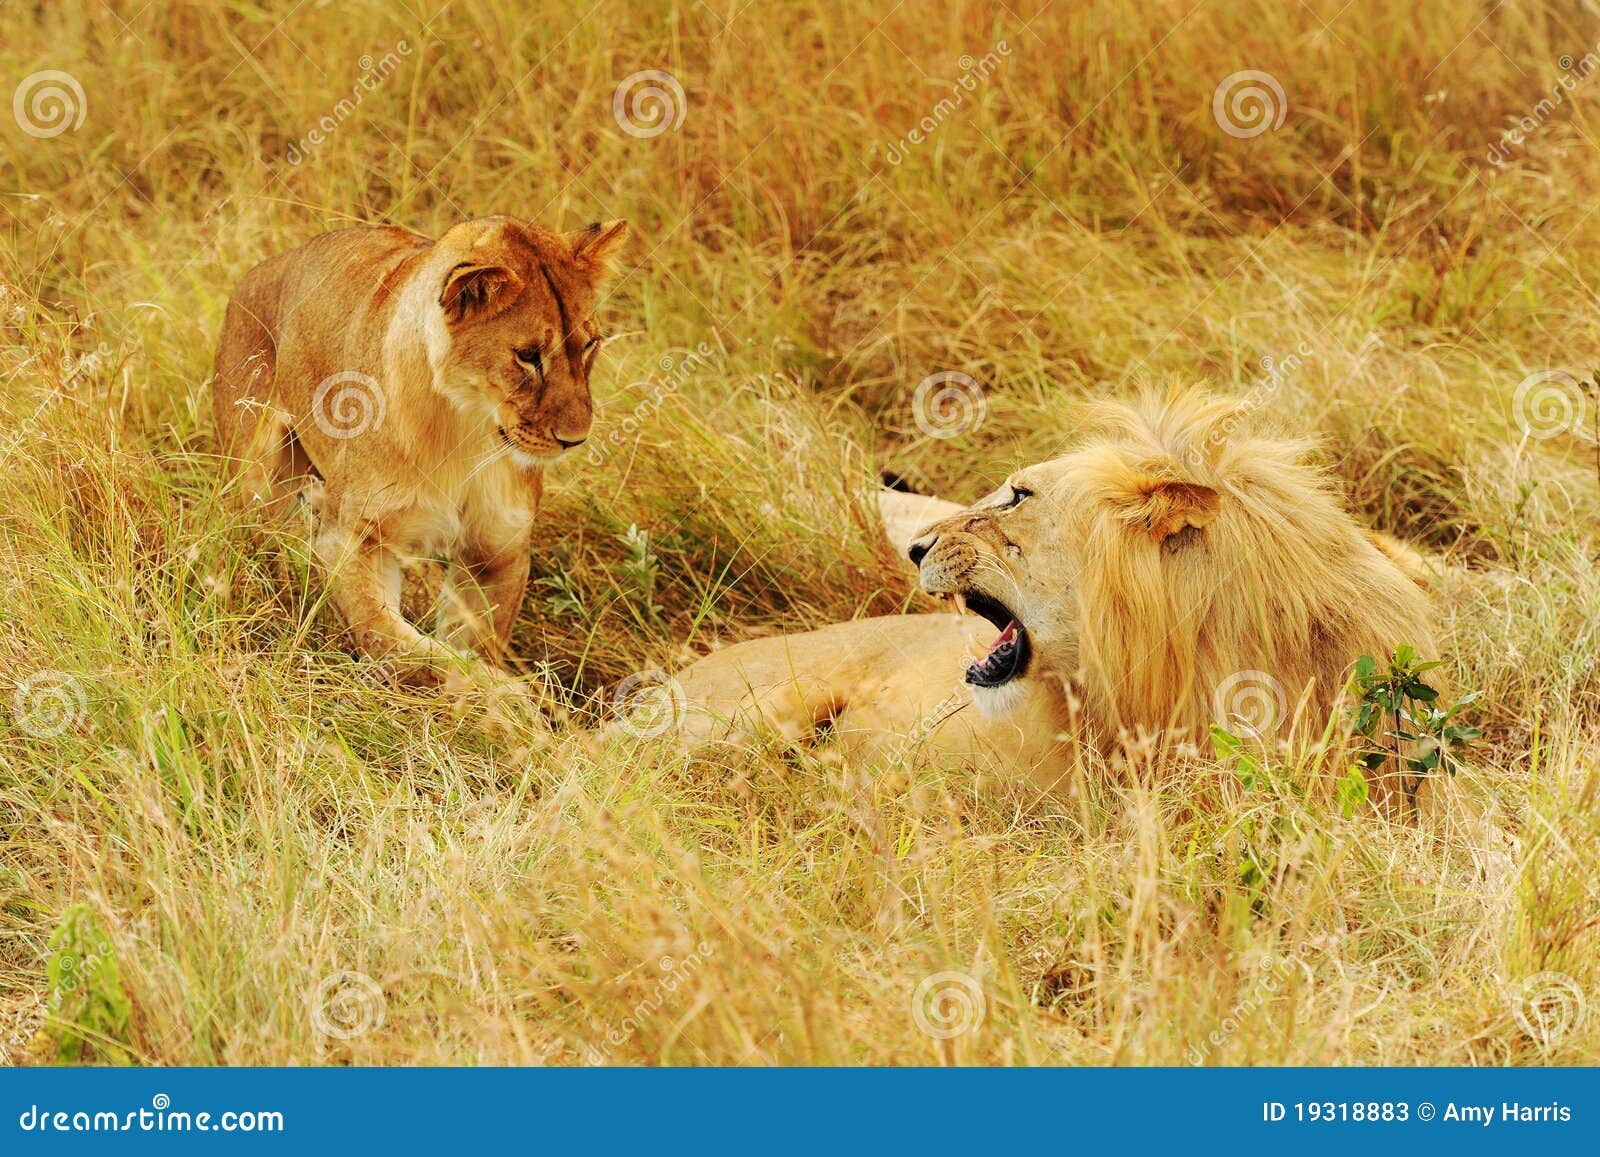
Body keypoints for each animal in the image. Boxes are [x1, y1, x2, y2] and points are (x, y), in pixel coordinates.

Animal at [213, 216, 627, 675]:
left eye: (589, 344)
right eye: (528, 355)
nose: (575, 439)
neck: (466, 429)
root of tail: (263, 267)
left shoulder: (499, 553)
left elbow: (472, 642)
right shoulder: (349, 539)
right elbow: (405, 649)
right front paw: (503, 690)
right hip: (258, 487)